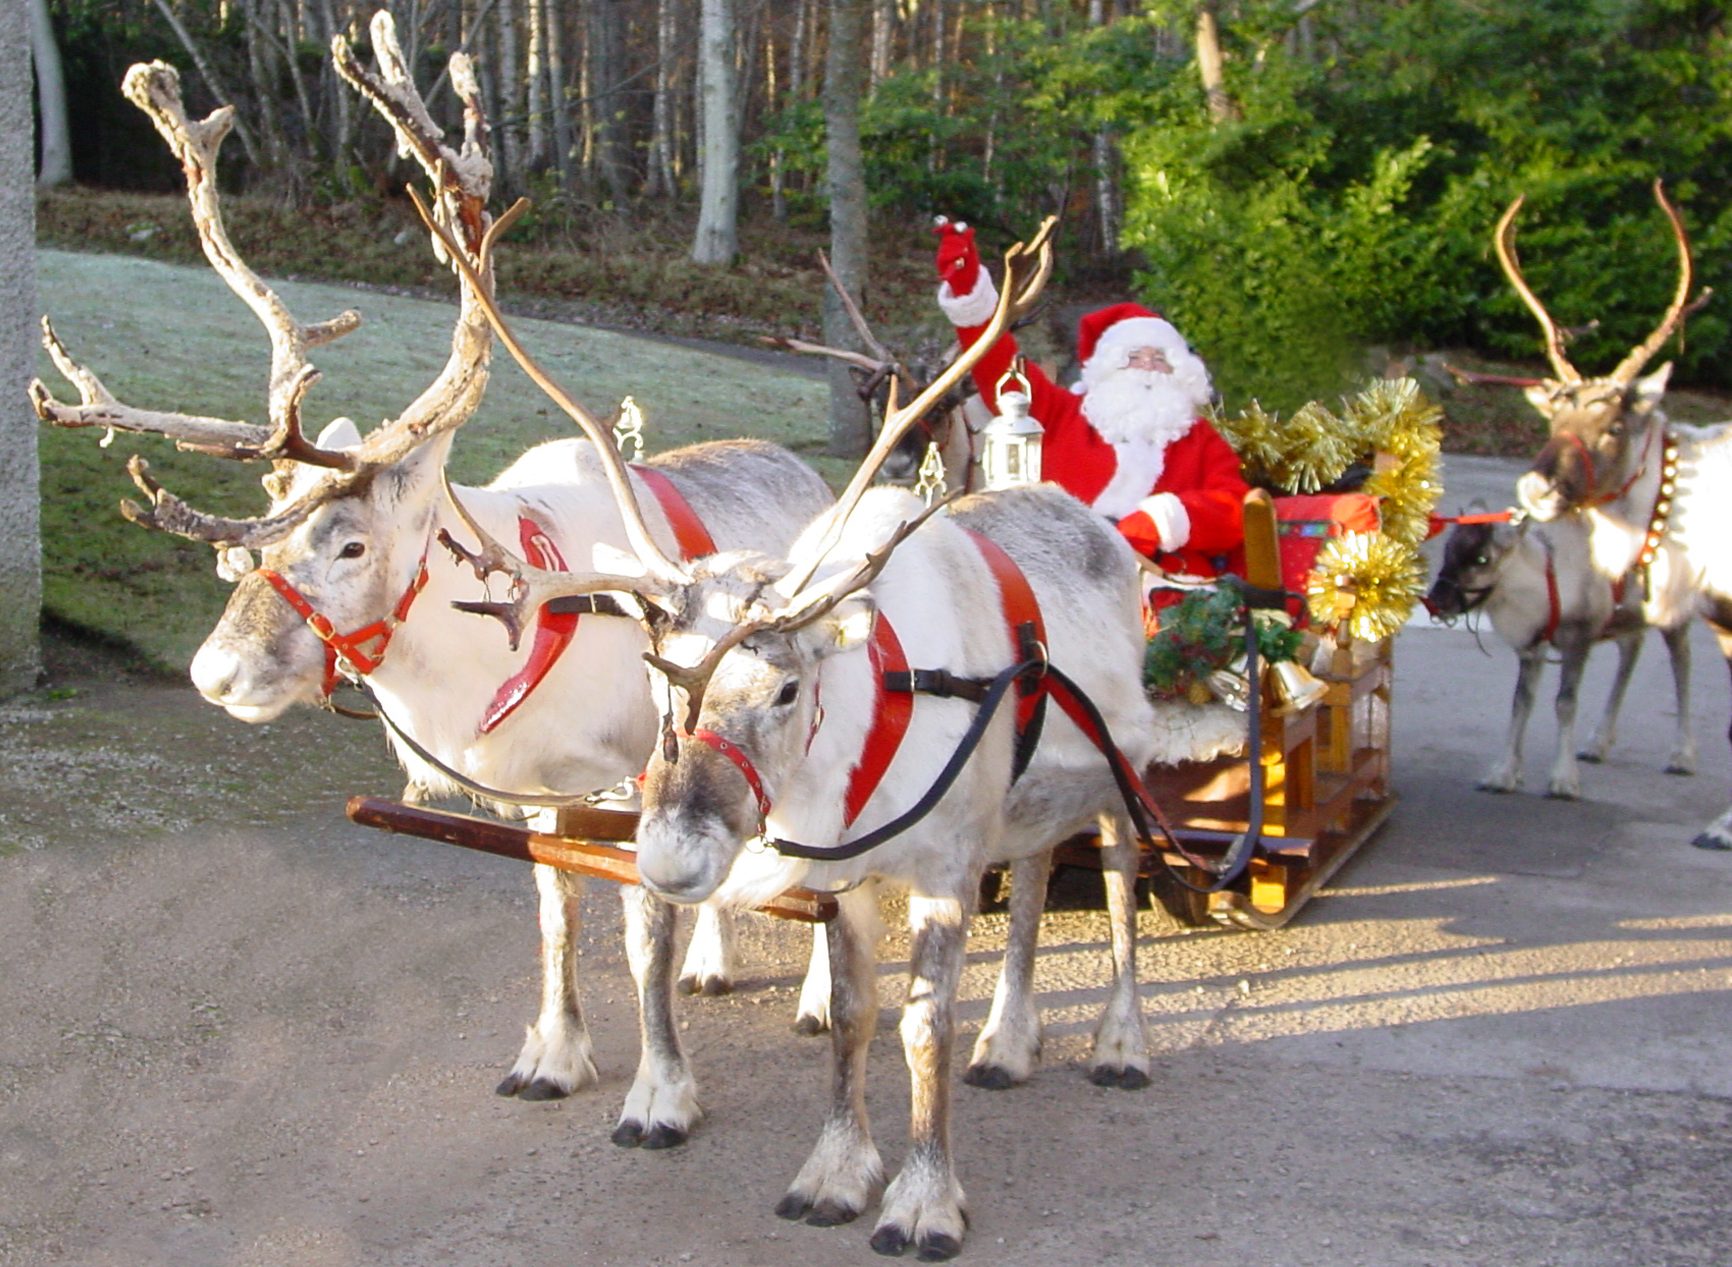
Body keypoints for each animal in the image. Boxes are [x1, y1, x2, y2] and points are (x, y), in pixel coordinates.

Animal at [28, 15, 836, 1150]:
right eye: (265, 537)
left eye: (351, 545)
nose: (213, 672)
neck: (495, 639)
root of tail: (810, 469)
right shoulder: (541, 790)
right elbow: (555, 911)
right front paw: (552, 1055)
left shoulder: (631, 769)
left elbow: (640, 928)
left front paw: (659, 1093)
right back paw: (719, 961)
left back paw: (815, 996)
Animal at [432, 209, 1164, 1259]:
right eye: (656, 670)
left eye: (784, 687)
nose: (668, 854)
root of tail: (1099, 523)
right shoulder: (852, 878)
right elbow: (855, 1017)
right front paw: (834, 1172)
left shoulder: (945, 867)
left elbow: (921, 1027)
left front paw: (923, 1200)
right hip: (1028, 803)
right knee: (1030, 882)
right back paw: (1010, 1042)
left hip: (1121, 777)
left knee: (1114, 886)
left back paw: (1120, 1044)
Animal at [1425, 510, 1694, 797]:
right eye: (1448, 549)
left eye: (1482, 558)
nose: (1436, 601)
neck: (1542, 588)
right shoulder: (1532, 647)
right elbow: (1521, 702)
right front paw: (1503, 774)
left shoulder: (1578, 640)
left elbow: (1565, 704)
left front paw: (1563, 779)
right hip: (1627, 618)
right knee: (1632, 647)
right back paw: (1598, 743)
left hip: (1672, 610)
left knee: (1681, 661)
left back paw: (1681, 755)